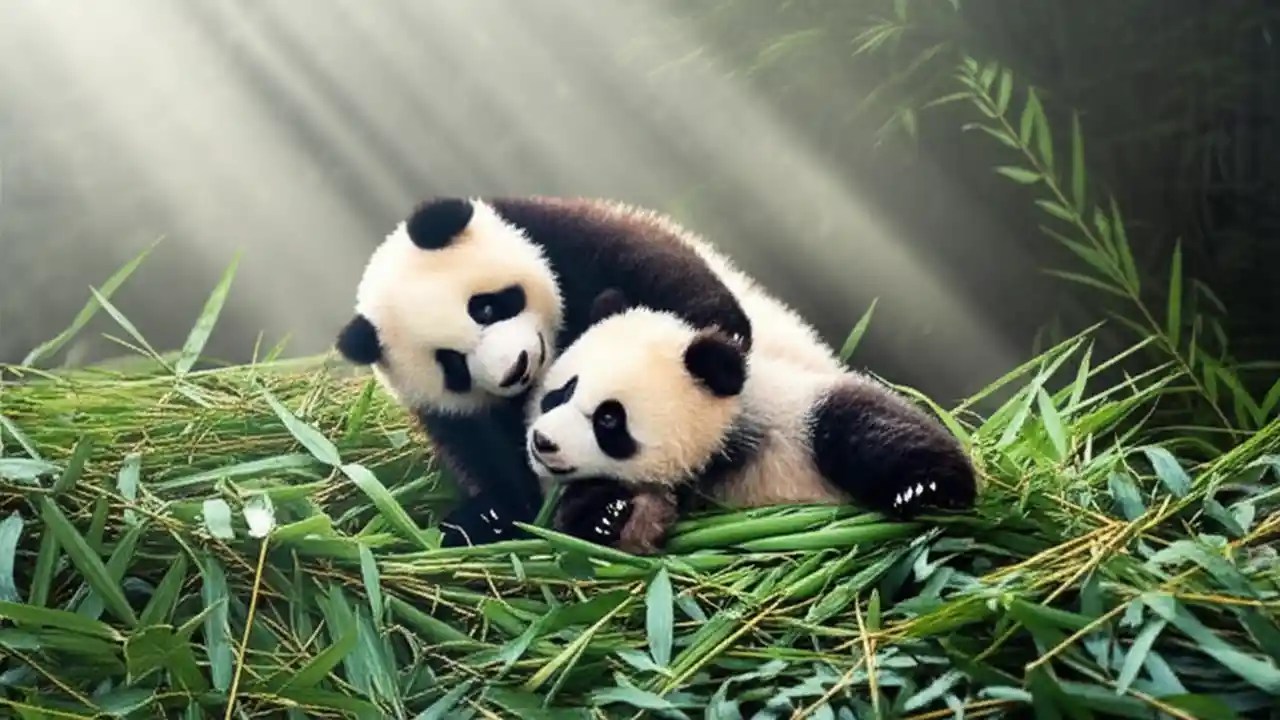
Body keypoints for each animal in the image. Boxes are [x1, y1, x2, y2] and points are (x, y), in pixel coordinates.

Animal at [333, 196, 753, 546]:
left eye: (484, 308)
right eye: (452, 363)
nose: (515, 368)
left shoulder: (568, 242)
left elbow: (661, 275)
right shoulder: (456, 417)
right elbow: (496, 470)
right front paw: (490, 517)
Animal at [524, 289, 978, 555]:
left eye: (608, 419)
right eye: (561, 392)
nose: (543, 442)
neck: (716, 453)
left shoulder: (784, 412)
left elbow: (862, 421)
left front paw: (925, 488)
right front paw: (609, 513)